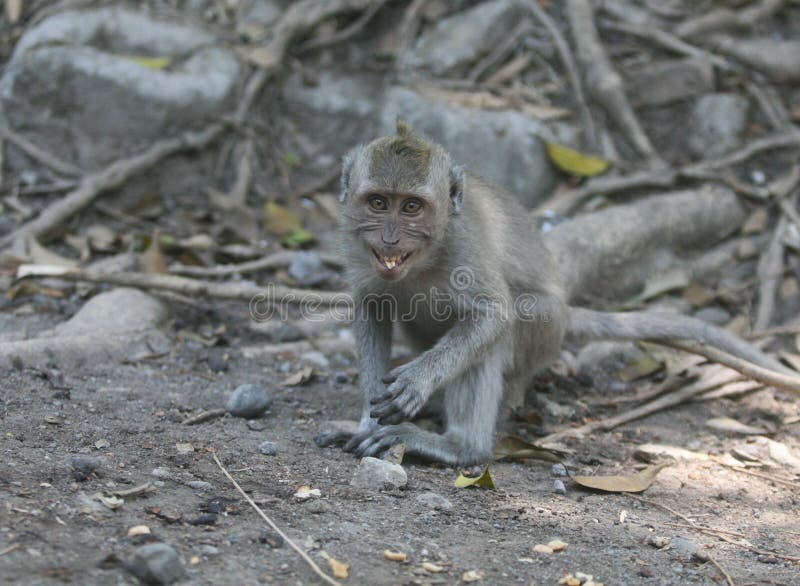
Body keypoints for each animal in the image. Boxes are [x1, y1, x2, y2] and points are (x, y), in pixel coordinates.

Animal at [315, 120, 795, 466]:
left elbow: (493, 315)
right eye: (379, 203)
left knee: (501, 333)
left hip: (544, 331)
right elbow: (372, 309)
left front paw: (417, 381)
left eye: (412, 207)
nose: (391, 239)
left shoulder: (464, 246)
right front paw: (365, 420)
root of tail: (565, 311)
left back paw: (459, 447)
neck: (425, 256)